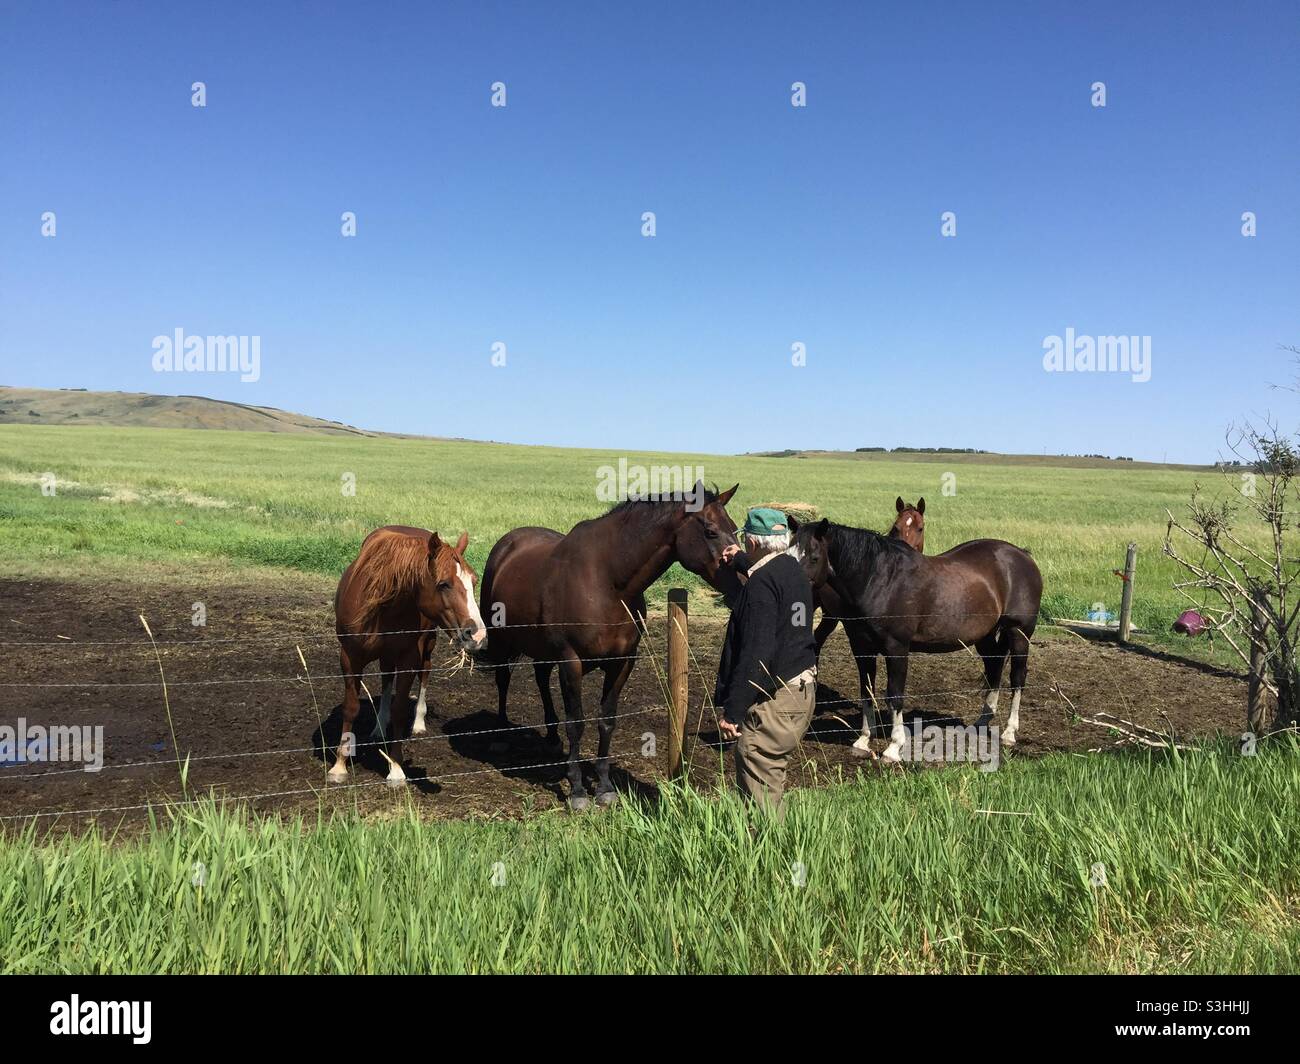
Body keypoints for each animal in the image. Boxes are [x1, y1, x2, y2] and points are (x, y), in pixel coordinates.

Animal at [331, 525, 488, 784]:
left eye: (474, 581)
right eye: (444, 584)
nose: (478, 635)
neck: (382, 605)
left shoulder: (408, 658)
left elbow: (400, 710)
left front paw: (395, 769)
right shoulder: (349, 658)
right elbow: (351, 707)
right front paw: (340, 765)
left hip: (427, 646)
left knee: (424, 675)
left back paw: (418, 722)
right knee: (386, 680)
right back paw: (379, 728)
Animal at [479, 483, 739, 810]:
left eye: (734, 529)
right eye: (711, 531)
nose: (742, 579)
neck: (608, 582)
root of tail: (506, 544)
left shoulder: (622, 661)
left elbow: (607, 721)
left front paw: (604, 787)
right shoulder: (571, 661)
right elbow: (577, 723)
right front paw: (577, 790)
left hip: (543, 649)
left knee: (540, 677)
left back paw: (551, 735)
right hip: (501, 638)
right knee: (503, 678)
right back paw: (500, 735)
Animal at [792, 519, 1041, 762]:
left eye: (814, 557)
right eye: (790, 553)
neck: (879, 580)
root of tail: (1022, 555)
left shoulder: (897, 648)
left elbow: (894, 695)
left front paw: (894, 748)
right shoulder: (862, 648)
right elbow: (867, 691)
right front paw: (863, 740)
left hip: (1018, 633)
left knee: (1017, 678)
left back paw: (1009, 732)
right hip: (986, 637)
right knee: (995, 668)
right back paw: (981, 722)